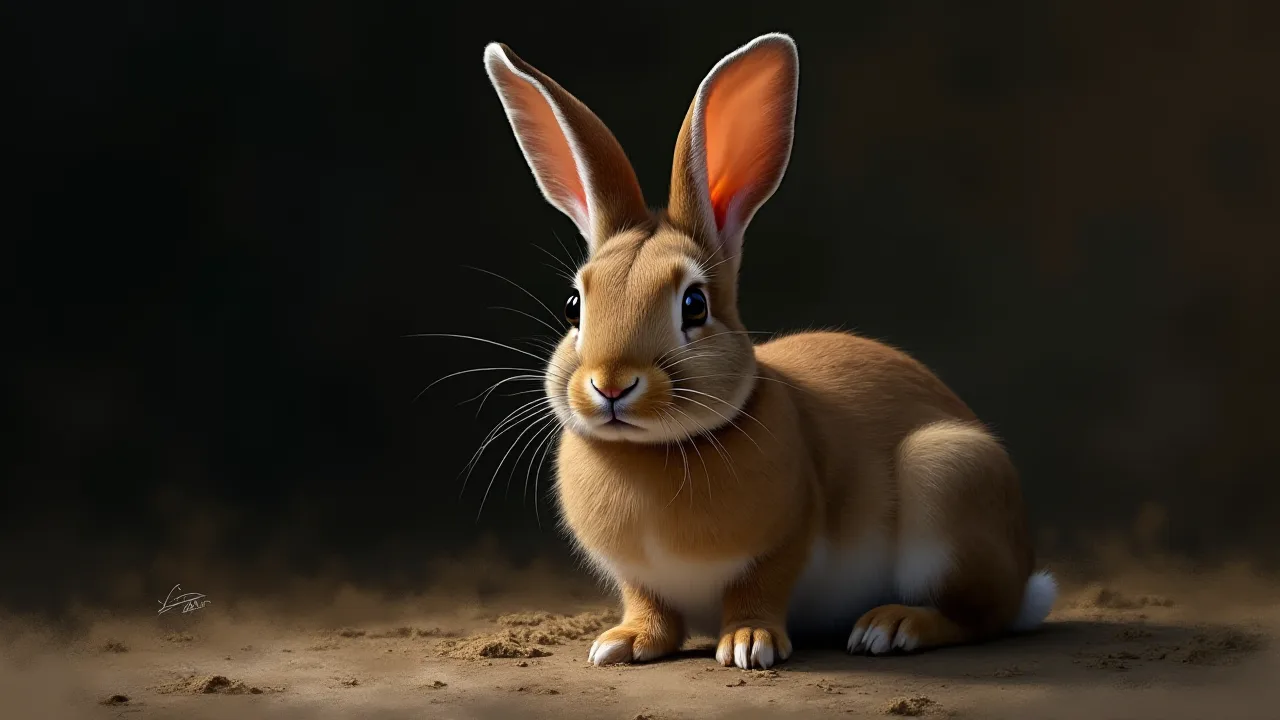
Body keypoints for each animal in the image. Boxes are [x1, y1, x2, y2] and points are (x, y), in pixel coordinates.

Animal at [481, 32, 1057, 670]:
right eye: (573, 306)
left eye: (694, 306)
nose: (610, 384)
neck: (653, 452)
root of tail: (1025, 576)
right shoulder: (638, 579)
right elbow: (650, 605)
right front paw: (622, 644)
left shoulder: (788, 538)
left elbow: (758, 588)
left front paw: (747, 644)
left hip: (949, 479)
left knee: (978, 616)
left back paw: (891, 626)